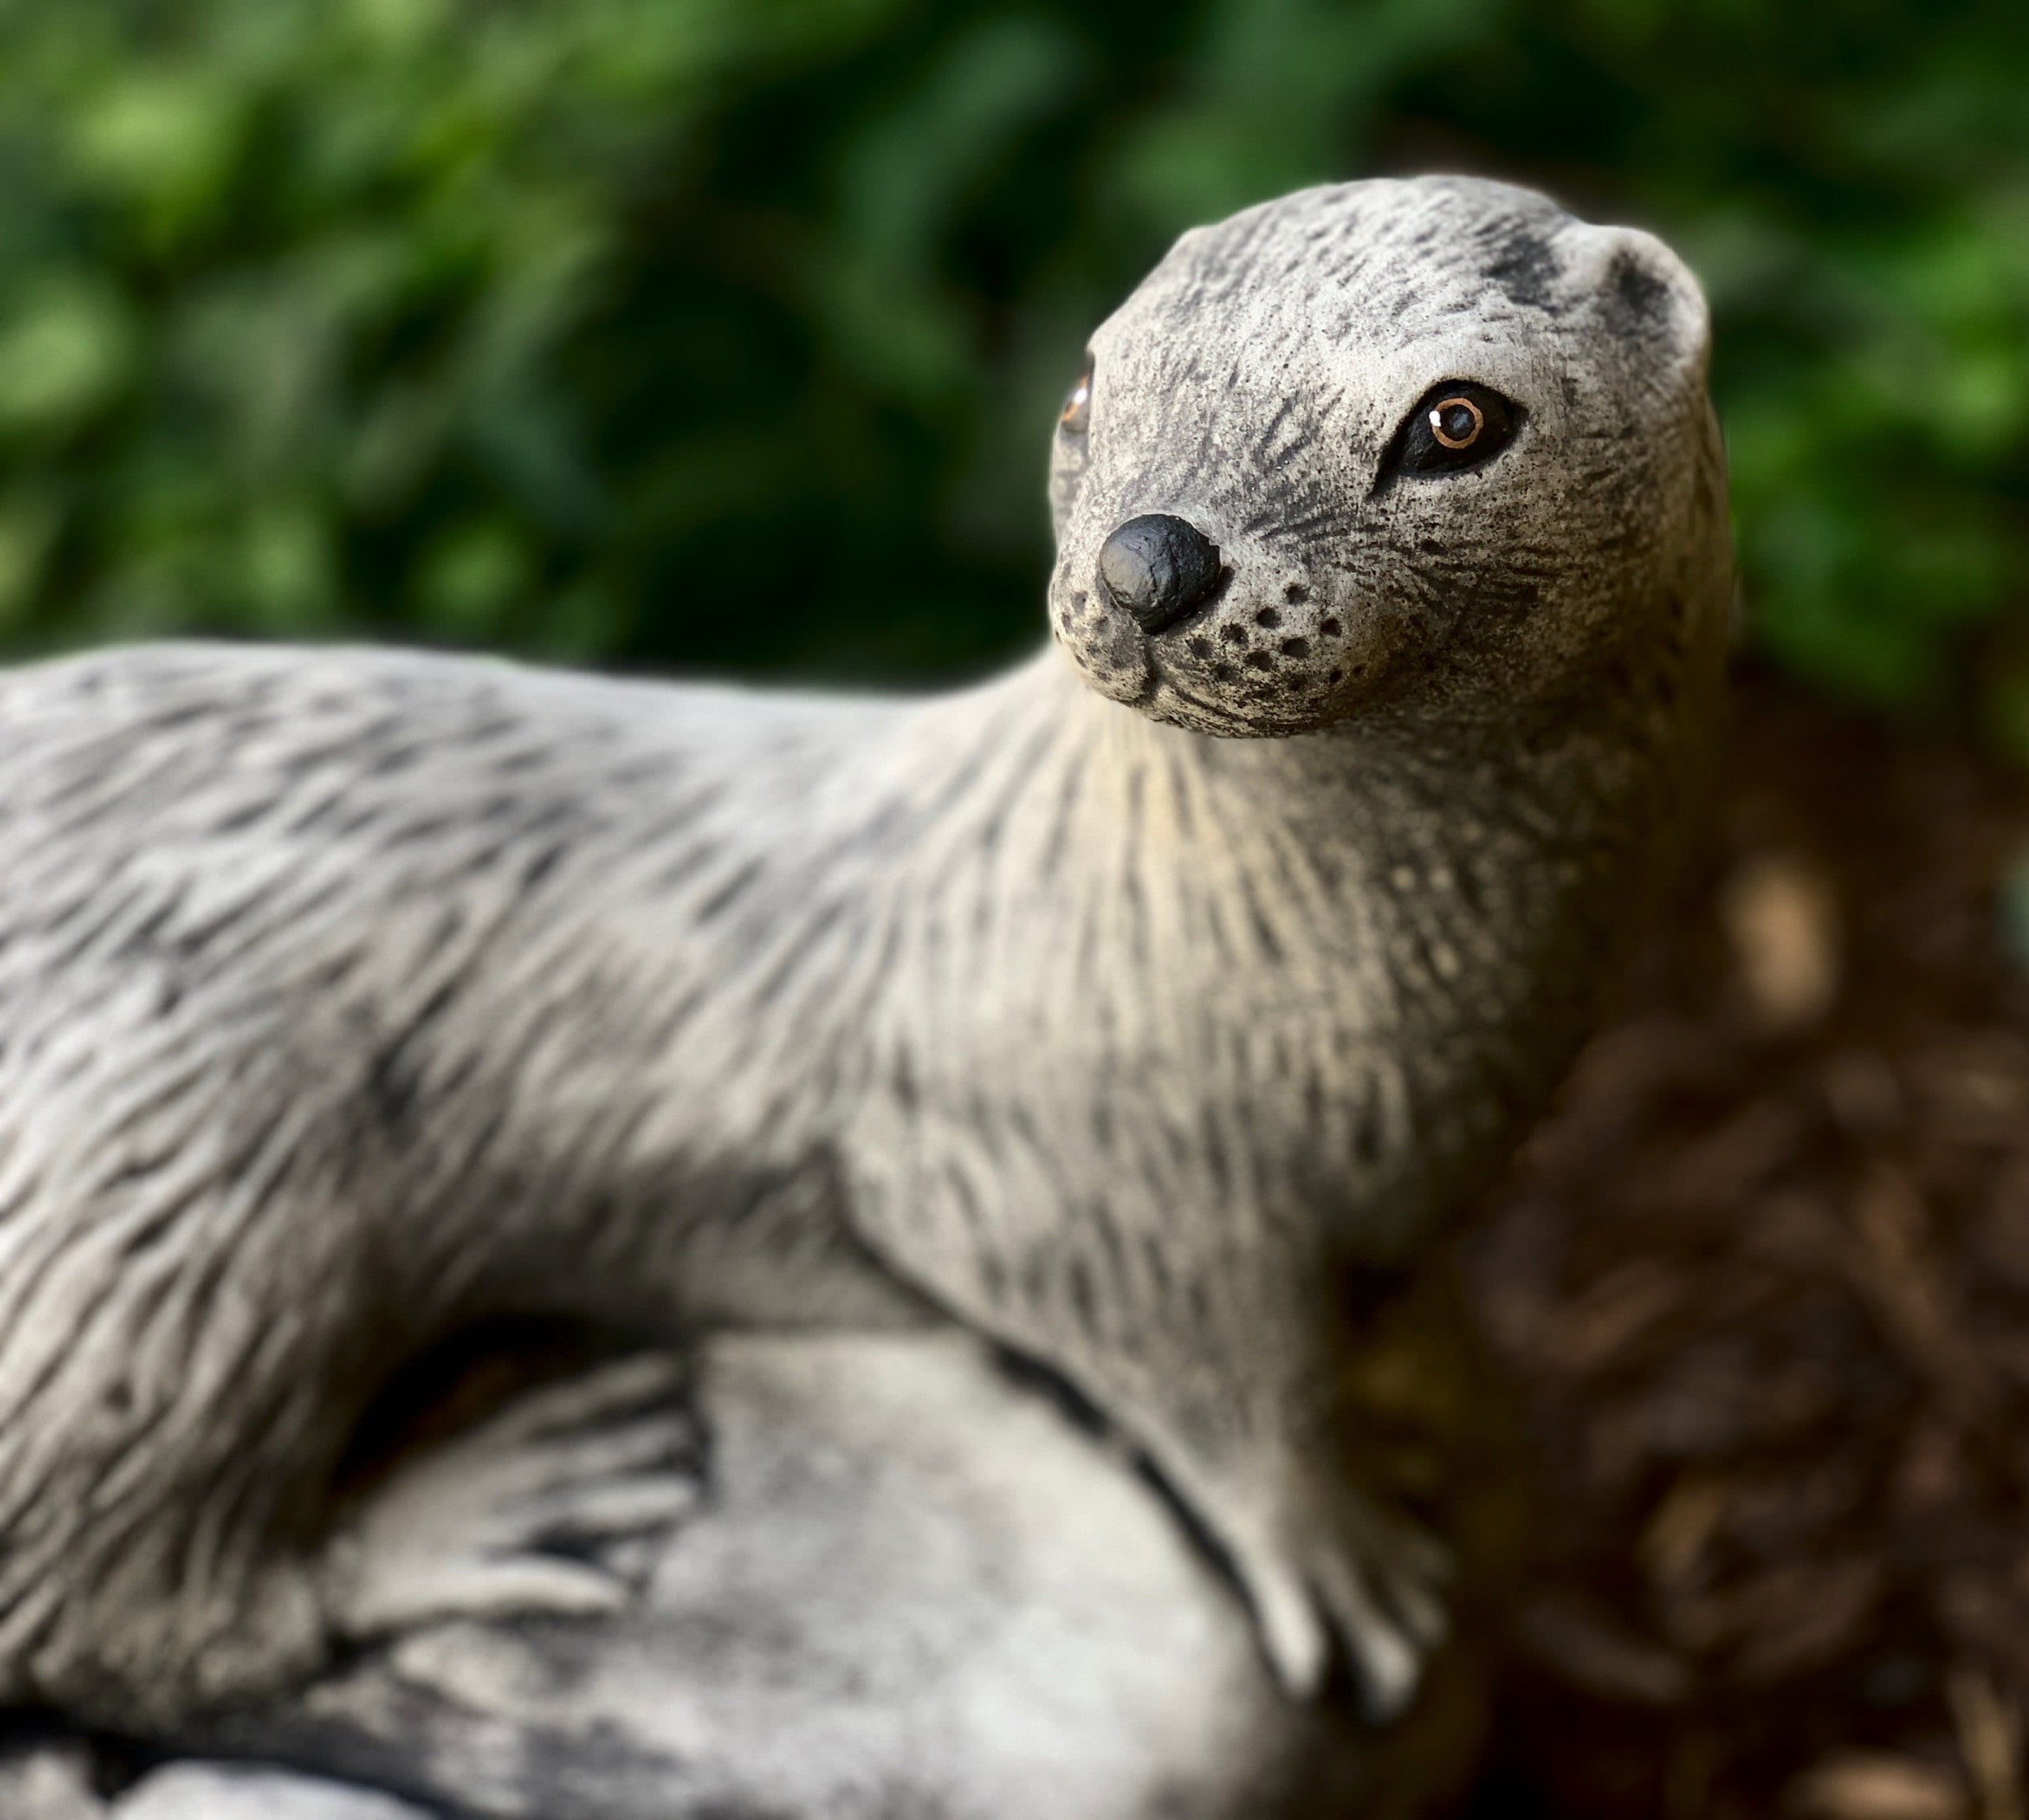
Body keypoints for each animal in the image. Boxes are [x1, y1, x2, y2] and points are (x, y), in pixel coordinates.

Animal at [0, 176, 1730, 1730]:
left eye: (1454, 420)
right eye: (1088, 386)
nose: (1151, 562)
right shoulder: (1042, 1170)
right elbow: (1220, 1385)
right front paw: (1341, 1556)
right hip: (175, 1209)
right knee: (109, 1601)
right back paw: (486, 1511)